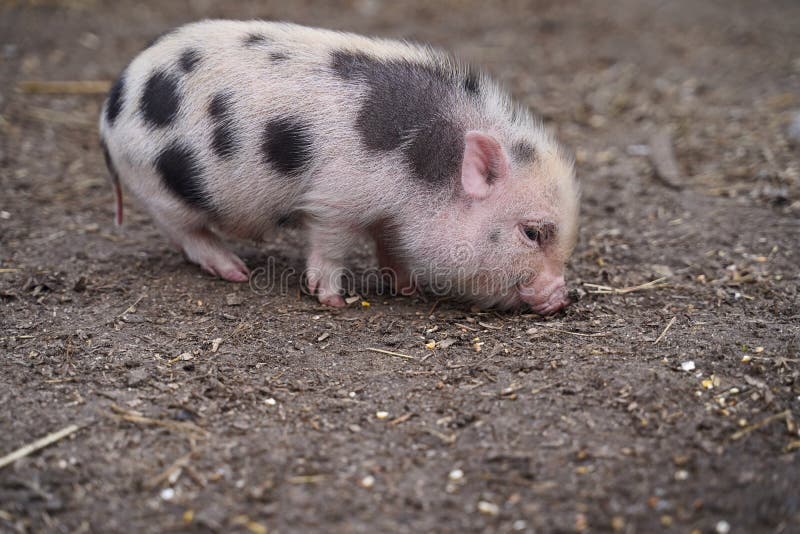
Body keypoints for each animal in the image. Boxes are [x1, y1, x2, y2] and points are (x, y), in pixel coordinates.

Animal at [99, 20, 579, 313]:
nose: (561, 297)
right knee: (186, 233)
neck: (420, 167)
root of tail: (110, 106)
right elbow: (331, 244)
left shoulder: (390, 215)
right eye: (532, 232)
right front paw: (332, 301)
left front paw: (408, 288)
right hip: (158, 186)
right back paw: (235, 271)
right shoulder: (337, 199)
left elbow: (391, 245)